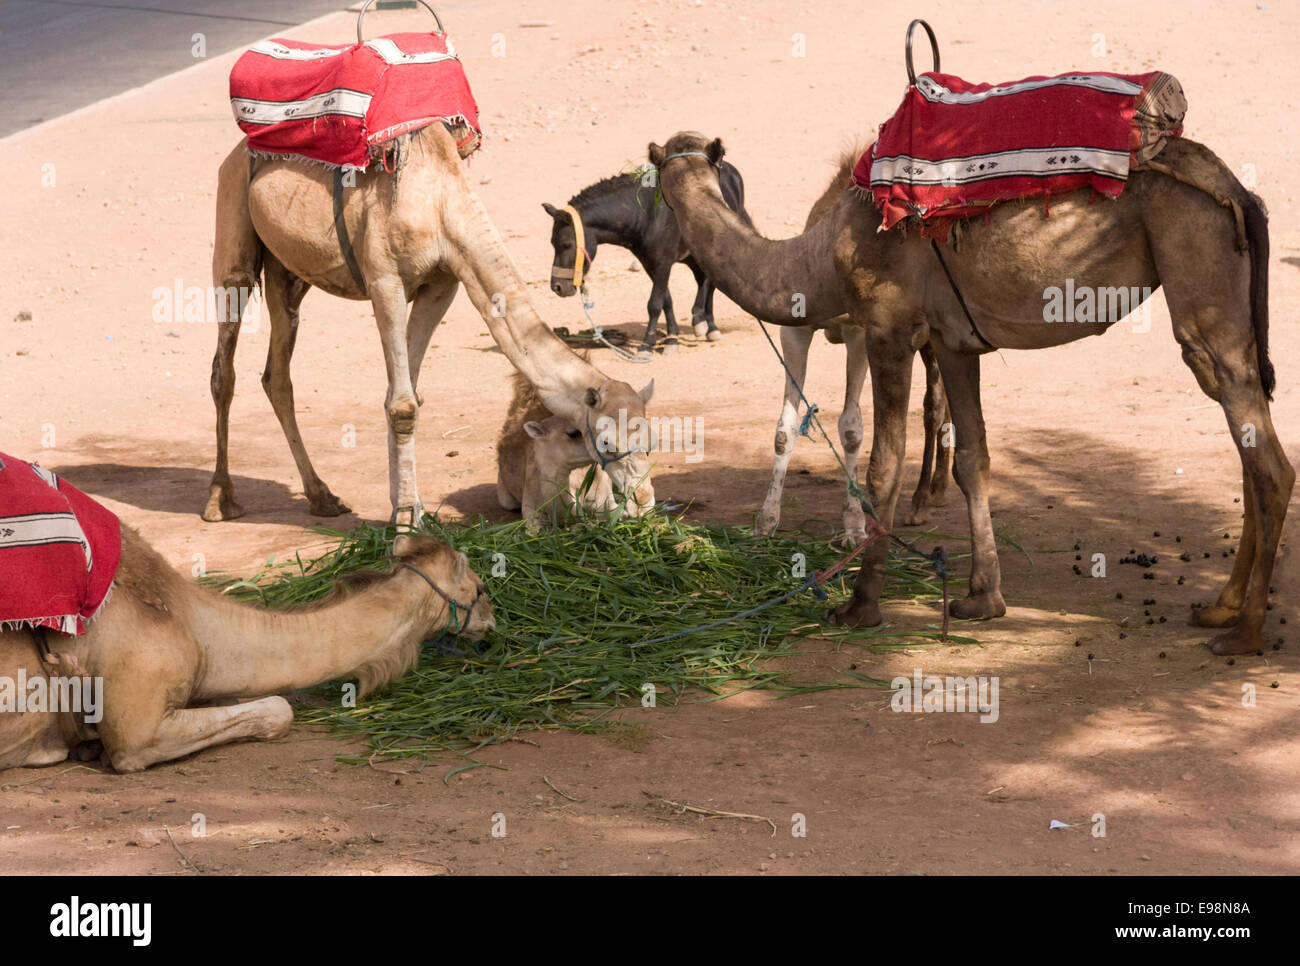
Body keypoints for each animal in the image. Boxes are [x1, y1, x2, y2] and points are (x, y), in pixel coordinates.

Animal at [0, 528, 493, 772]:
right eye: (477, 584)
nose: (492, 618)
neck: (196, 627)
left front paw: (83, 747)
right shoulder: (136, 725)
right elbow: (279, 709)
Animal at [757, 145, 951, 542]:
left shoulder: (860, 333)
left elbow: (851, 429)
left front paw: (855, 525)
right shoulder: (796, 329)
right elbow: (785, 428)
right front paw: (767, 521)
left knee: (935, 403)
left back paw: (922, 500)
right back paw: (937, 489)